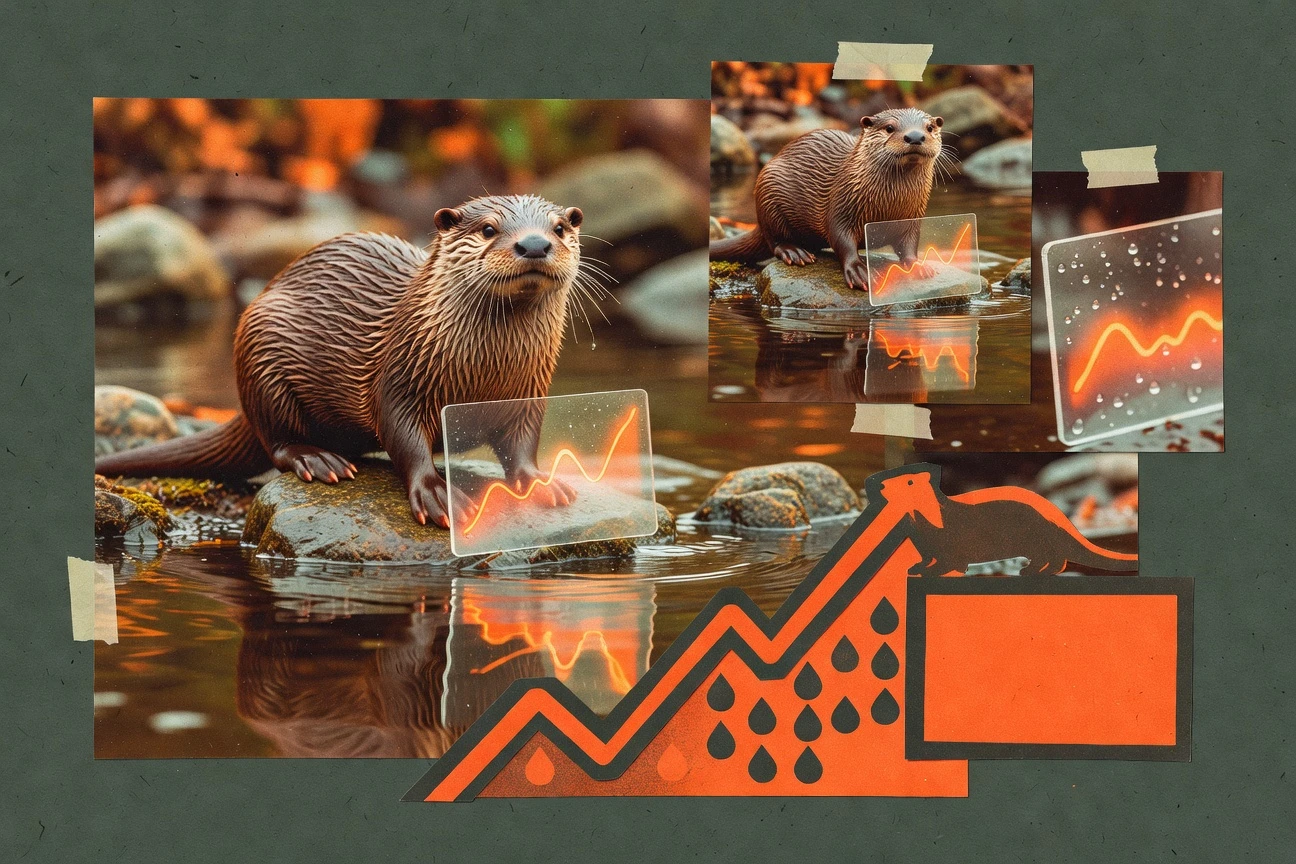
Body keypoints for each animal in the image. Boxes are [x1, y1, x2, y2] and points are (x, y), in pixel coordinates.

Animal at [95, 194, 593, 529]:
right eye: (489, 228)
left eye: (559, 228)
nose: (534, 244)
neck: (485, 374)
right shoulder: (400, 378)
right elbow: (405, 441)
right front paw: (439, 494)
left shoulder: (531, 391)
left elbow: (522, 444)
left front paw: (542, 481)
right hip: (261, 348)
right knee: (276, 442)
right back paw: (318, 460)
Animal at [710, 108, 947, 291]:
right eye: (889, 127)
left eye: (929, 127)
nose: (915, 136)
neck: (889, 206)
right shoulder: (841, 206)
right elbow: (842, 241)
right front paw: (859, 271)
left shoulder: (912, 218)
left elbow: (909, 246)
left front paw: (918, 265)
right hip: (768, 193)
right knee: (774, 241)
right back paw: (794, 252)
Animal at [877, 470, 1138, 576]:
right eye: (891, 479)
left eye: (909, 482)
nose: (882, 485)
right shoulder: (925, 546)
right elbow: (926, 559)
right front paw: (917, 568)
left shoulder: (951, 547)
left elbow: (950, 562)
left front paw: (933, 571)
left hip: (1038, 539)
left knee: (1055, 559)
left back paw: (1031, 571)